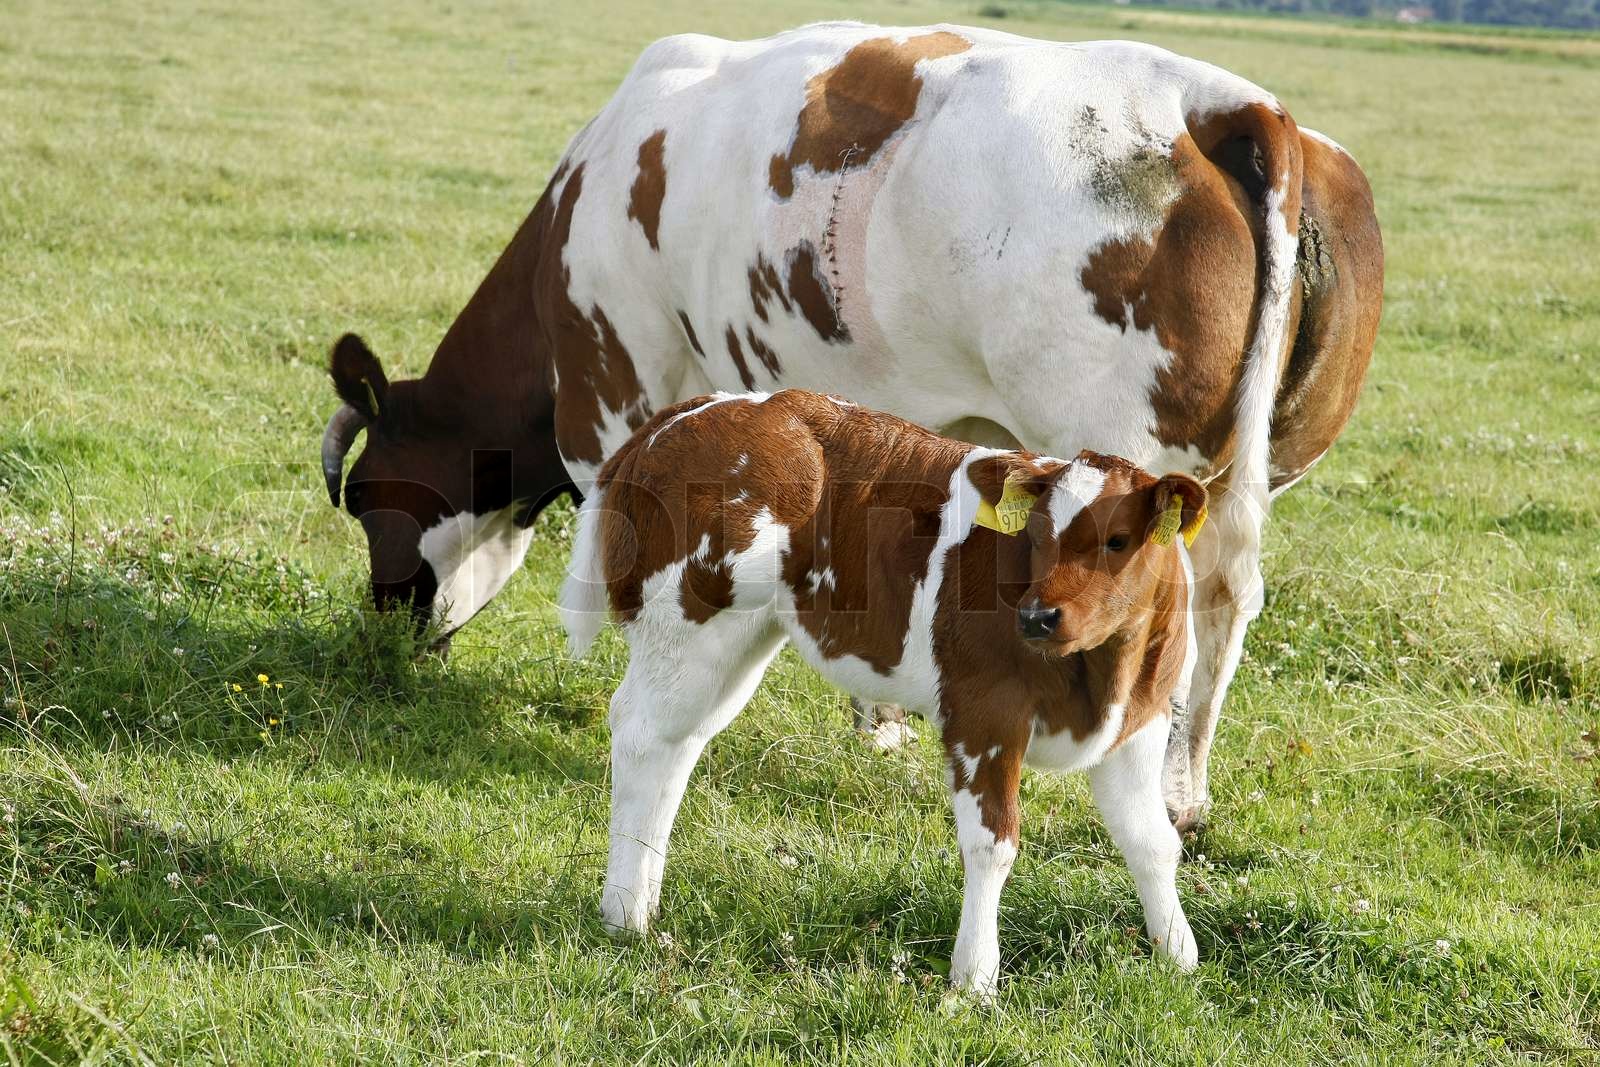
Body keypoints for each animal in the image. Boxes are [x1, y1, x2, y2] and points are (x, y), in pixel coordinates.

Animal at [320, 22, 1382, 831]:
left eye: (365, 498)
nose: (382, 632)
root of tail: (1227, 105)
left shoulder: (612, 390)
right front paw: (882, 715)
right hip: (1239, 475)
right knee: (1227, 601)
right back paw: (1182, 795)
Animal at [558, 388, 1210, 996]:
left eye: (1118, 540)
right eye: (1036, 536)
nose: (1037, 616)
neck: (1104, 676)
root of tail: (703, 408)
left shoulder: (1141, 721)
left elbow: (1151, 840)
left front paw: (1178, 956)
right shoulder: (983, 715)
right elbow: (992, 844)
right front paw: (974, 979)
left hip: (734, 641)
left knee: (679, 744)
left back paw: (644, 904)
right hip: (687, 624)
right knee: (642, 736)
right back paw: (624, 914)